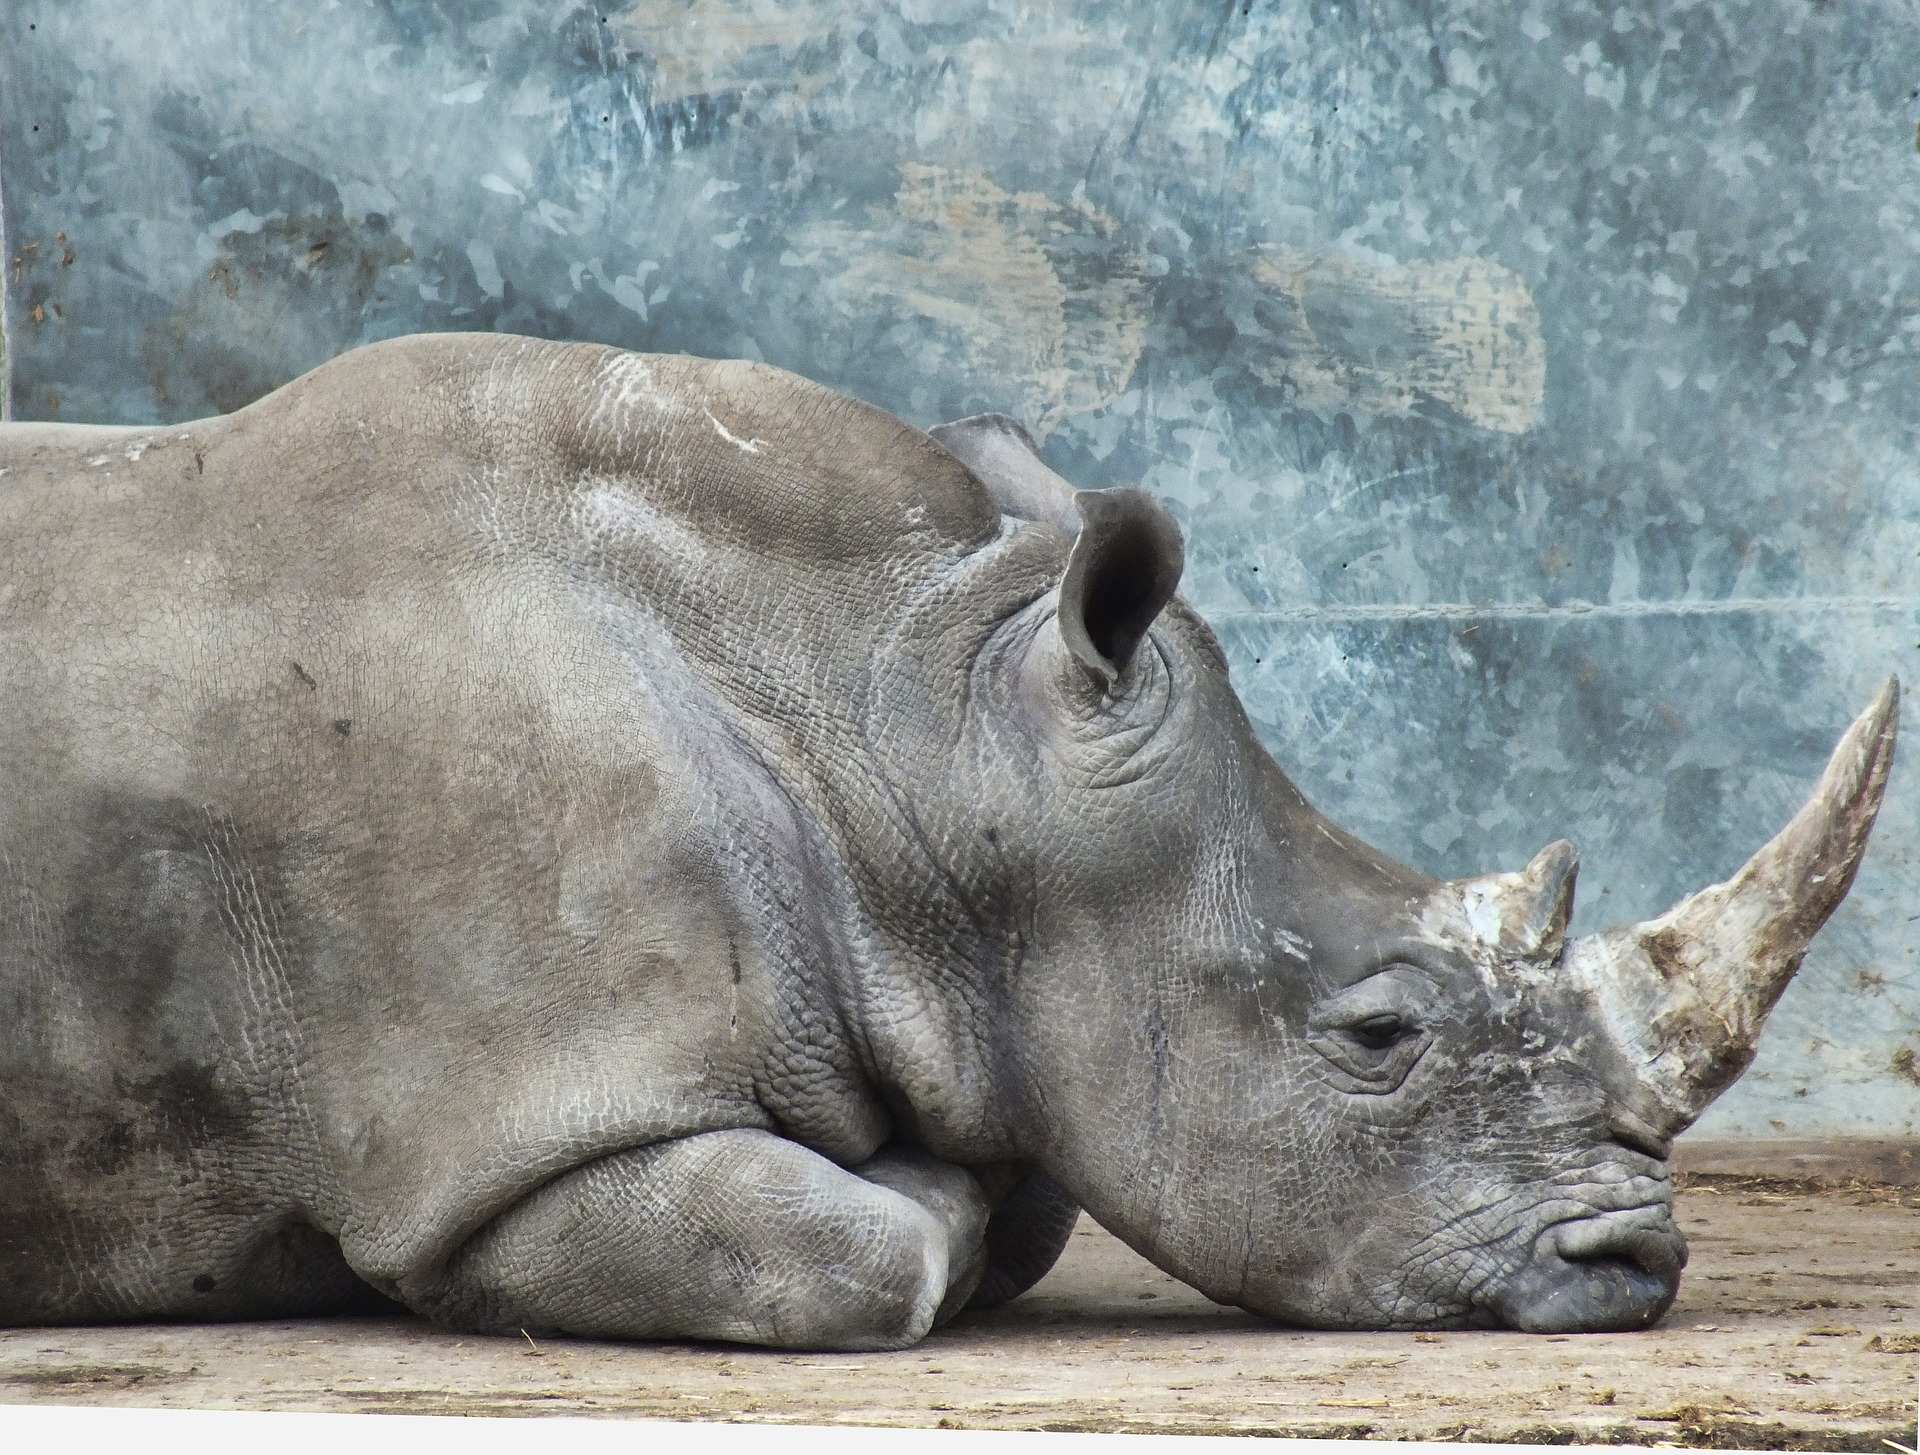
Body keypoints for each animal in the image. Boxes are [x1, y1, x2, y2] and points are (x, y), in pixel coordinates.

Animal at [0, 333, 1898, 1348]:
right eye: (1378, 1034)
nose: (1636, 1266)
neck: (912, 718)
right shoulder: (513, 1140)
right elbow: (855, 1247)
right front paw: (932, 1194)